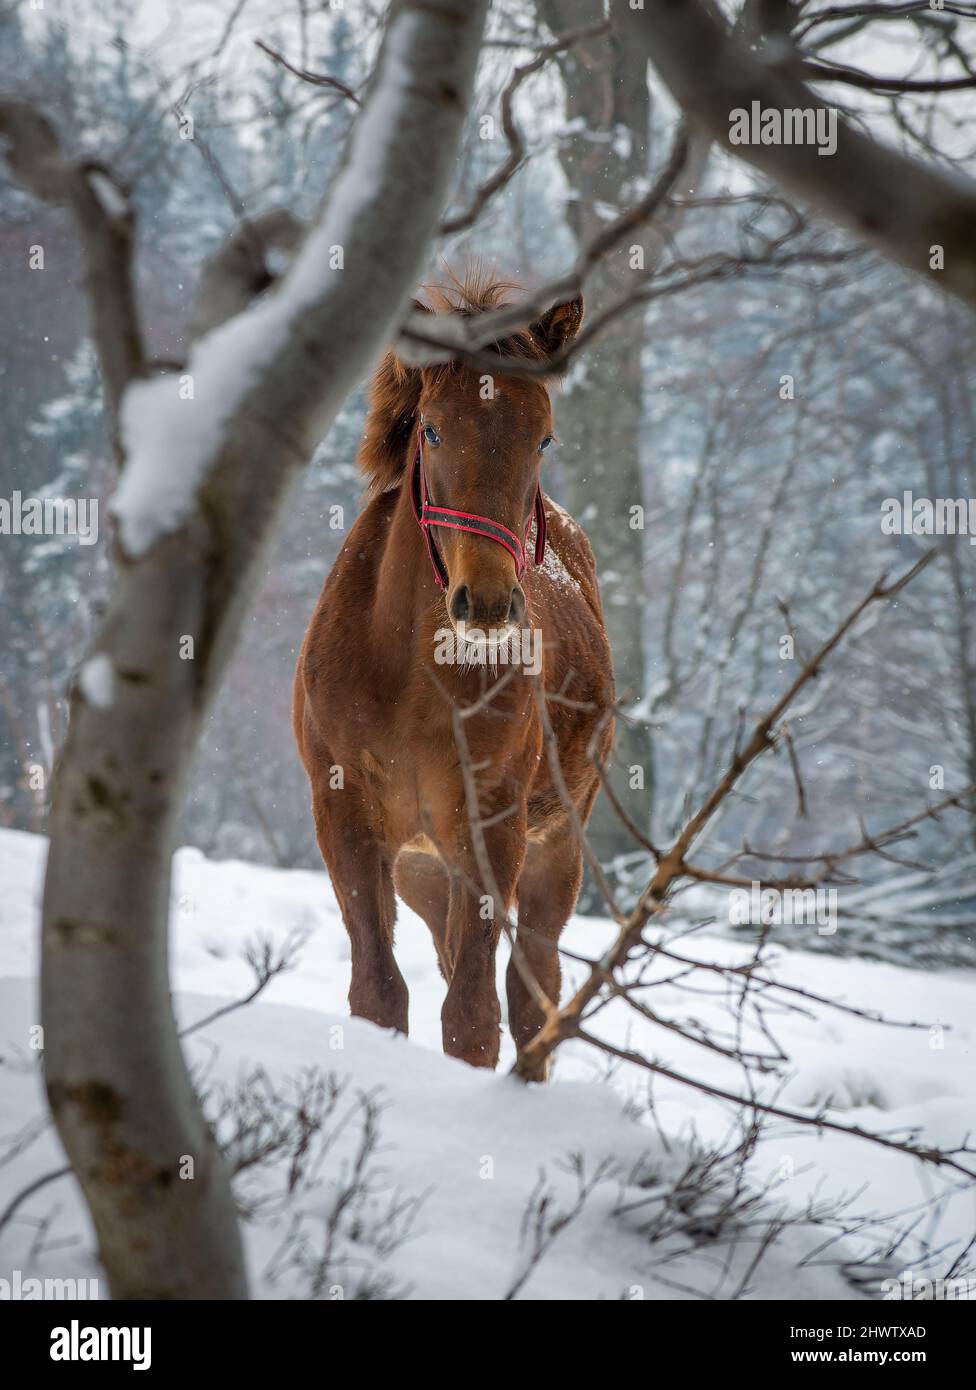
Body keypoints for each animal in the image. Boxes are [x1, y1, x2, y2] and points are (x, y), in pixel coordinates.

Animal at [293, 271, 615, 1077]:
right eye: (433, 429)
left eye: (543, 435)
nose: (489, 601)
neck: (409, 676)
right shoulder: (346, 818)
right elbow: (379, 993)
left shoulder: (491, 827)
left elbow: (473, 1016)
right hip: (423, 869)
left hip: (555, 845)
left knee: (534, 992)